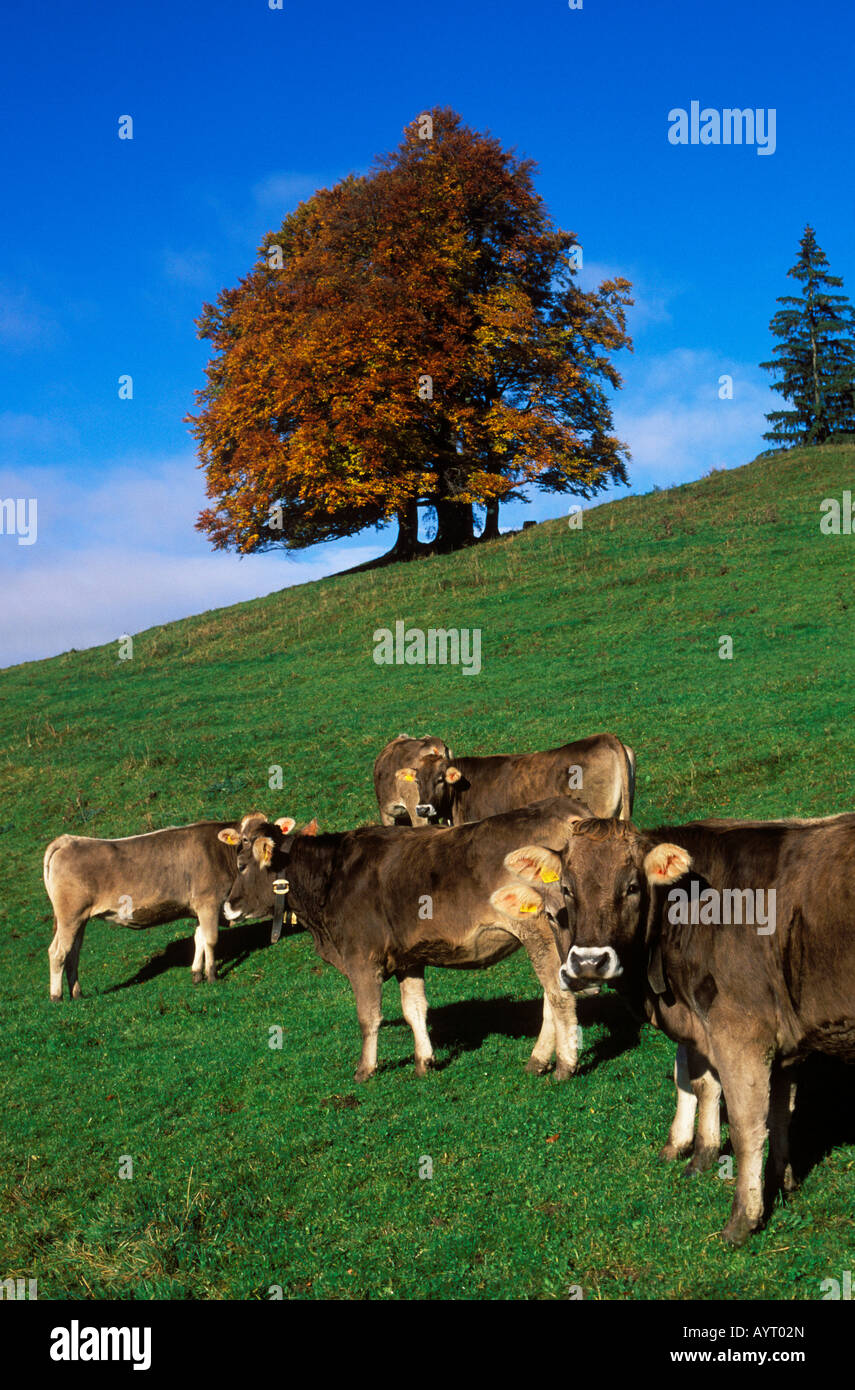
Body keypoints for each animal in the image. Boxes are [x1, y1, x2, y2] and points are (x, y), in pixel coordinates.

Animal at [43, 812, 294, 1000]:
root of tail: (67, 840)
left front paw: (196, 975)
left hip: (79, 919)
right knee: (57, 952)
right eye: (245, 839)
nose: (266, 850)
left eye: (275, 833)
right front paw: (212, 976)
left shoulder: (200, 908)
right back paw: (57, 997)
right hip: (70, 915)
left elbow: (199, 938)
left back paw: (77, 994)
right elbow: (211, 939)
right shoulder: (209, 902)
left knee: (73, 952)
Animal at [219, 798, 590, 1082]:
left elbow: (368, 1017)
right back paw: (538, 1061)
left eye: (241, 865)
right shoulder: (408, 958)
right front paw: (424, 1061)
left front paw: (365, 1069)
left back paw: (564, 1065)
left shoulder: (361, 959)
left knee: (559, 996)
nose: (227, 906)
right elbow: (414, 1009)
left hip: (541, 932)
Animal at [501, 814, 855, 1244]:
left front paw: (743, 1218)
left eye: (632, 887)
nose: (588, 964)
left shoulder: (741, 1034)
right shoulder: (775, 1041)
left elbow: (747, 1126)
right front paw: (776, 1179)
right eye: (567, 889)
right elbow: (768, 1110)